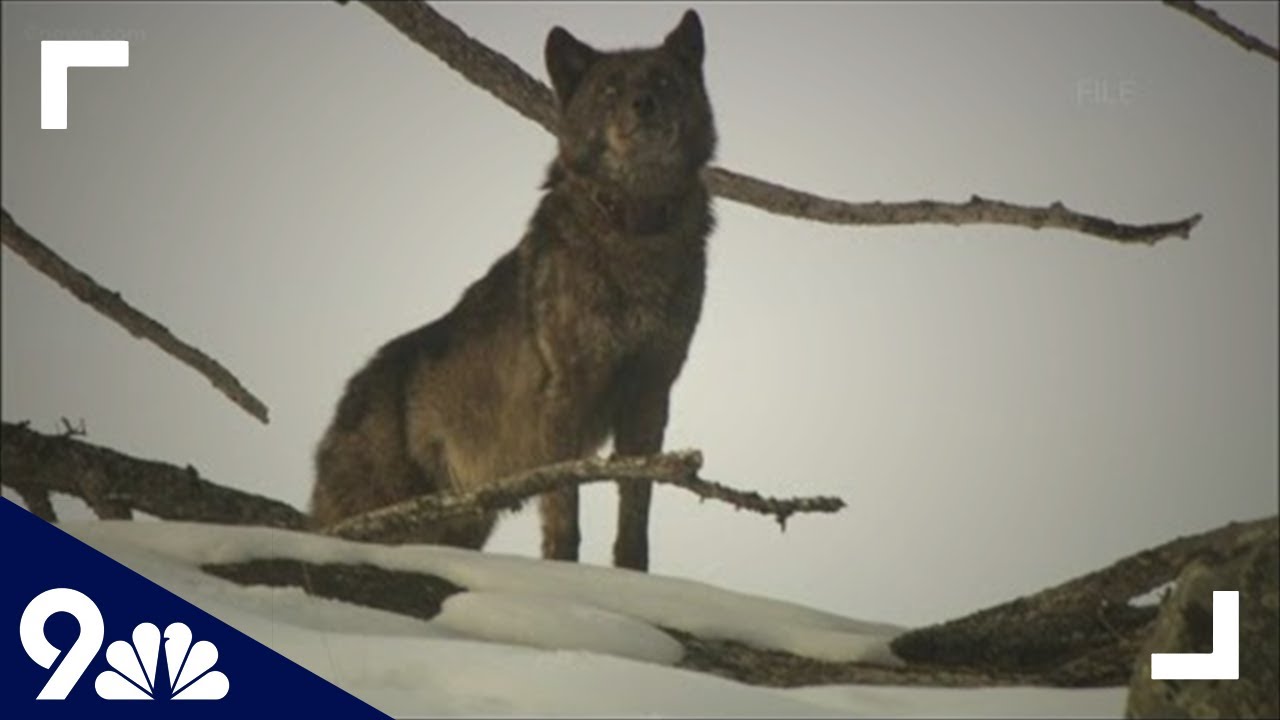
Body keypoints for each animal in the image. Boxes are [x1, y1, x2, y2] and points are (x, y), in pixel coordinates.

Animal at [309, 10, 716, 571]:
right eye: (610, 89)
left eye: (662, 81)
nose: (643, 104)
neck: (636, 228)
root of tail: (345, 400)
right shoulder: (564, 394)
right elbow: (564, 513)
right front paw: (564, 576)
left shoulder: (651, 391)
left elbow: (636, 512)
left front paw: (634, 577)